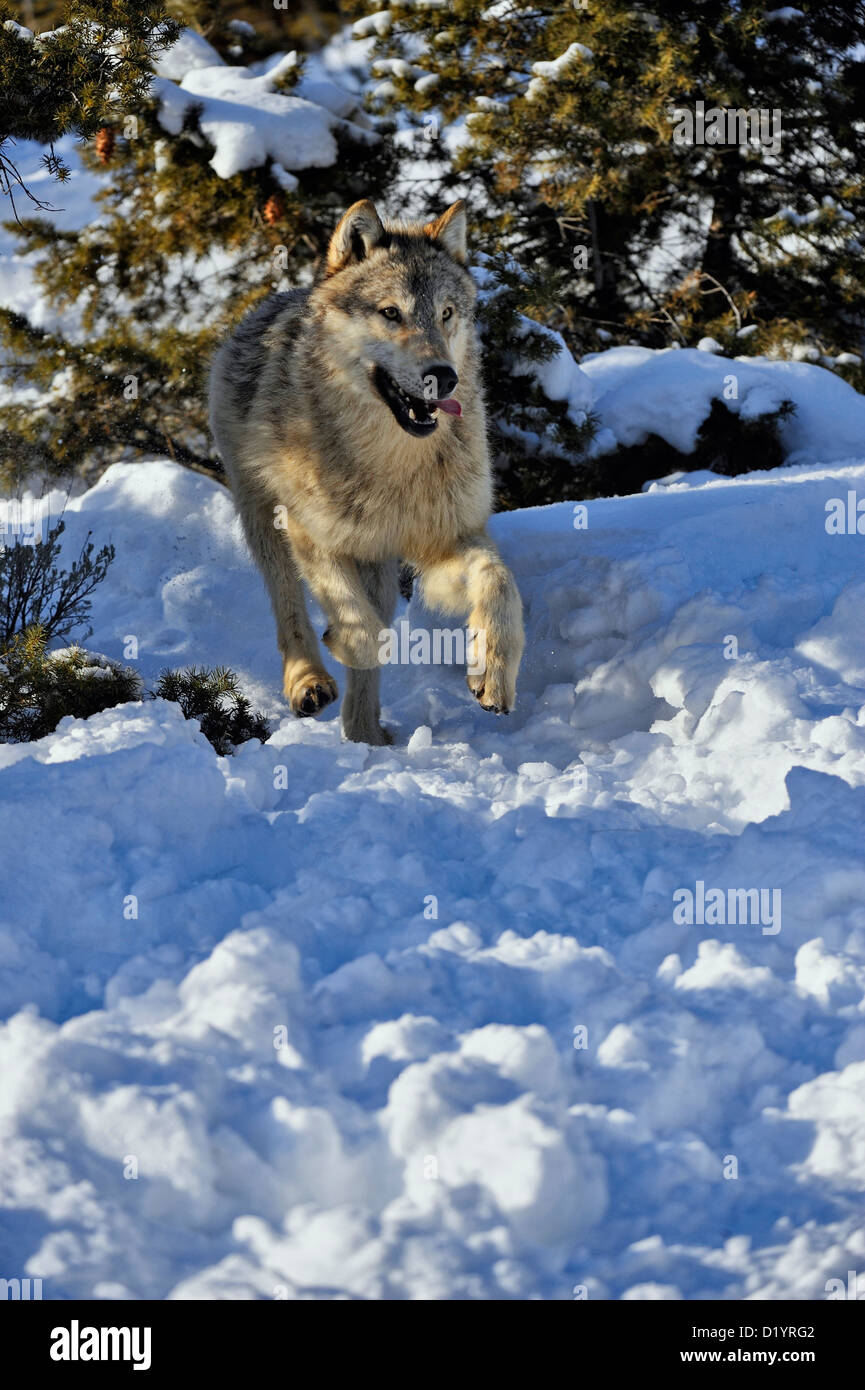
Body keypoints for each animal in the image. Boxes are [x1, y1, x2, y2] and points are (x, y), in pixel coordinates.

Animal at [209, 198, 525, 745]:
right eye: (391, 312)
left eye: (446, 314)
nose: (443, 377)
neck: (392, 464)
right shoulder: (313, 534)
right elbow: (361, 629)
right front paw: (345, 644)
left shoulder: (448, 537)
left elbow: (500, 581)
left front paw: (493, 672)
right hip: (263, 517)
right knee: (288, 604)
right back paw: (310, 682)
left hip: (379, 559)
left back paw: (366, 736)